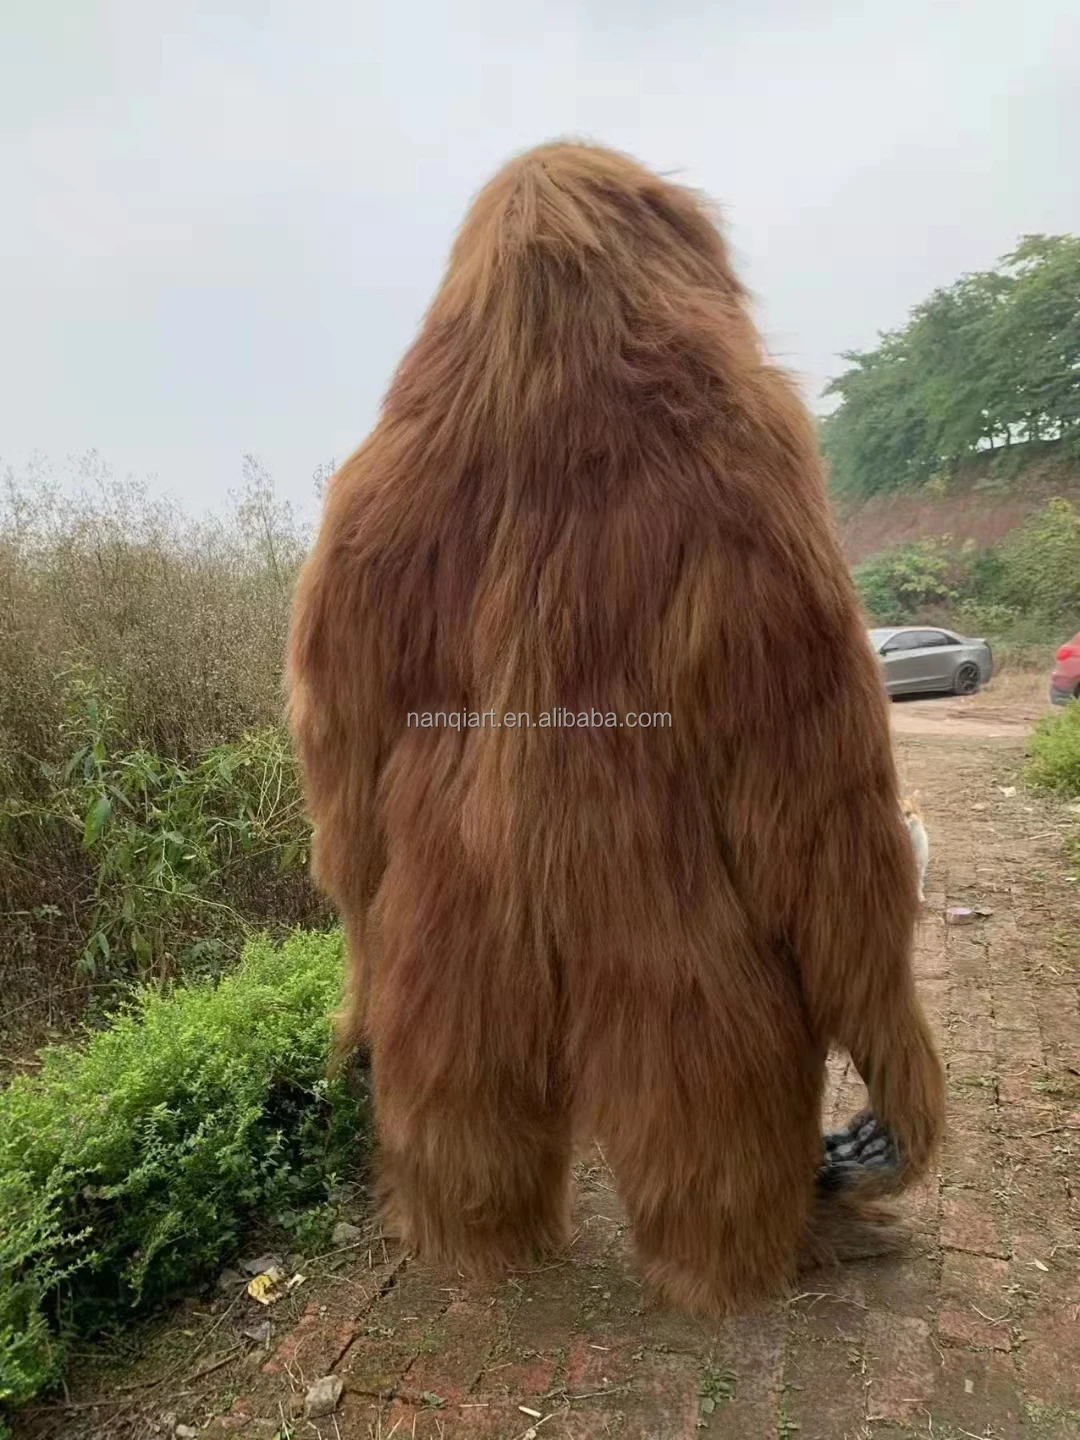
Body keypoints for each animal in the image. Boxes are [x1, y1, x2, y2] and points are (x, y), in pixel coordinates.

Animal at [286, 139, 945, 1314]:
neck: (535, 377)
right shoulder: (765, 475)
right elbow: (825, 820)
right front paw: (894, 1119)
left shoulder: (350, 522)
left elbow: (347, 794)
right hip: (702, 995)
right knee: (720, 1149)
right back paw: (774, 1257)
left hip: (451, 985)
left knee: (464, 1126)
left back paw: (474, 1249)